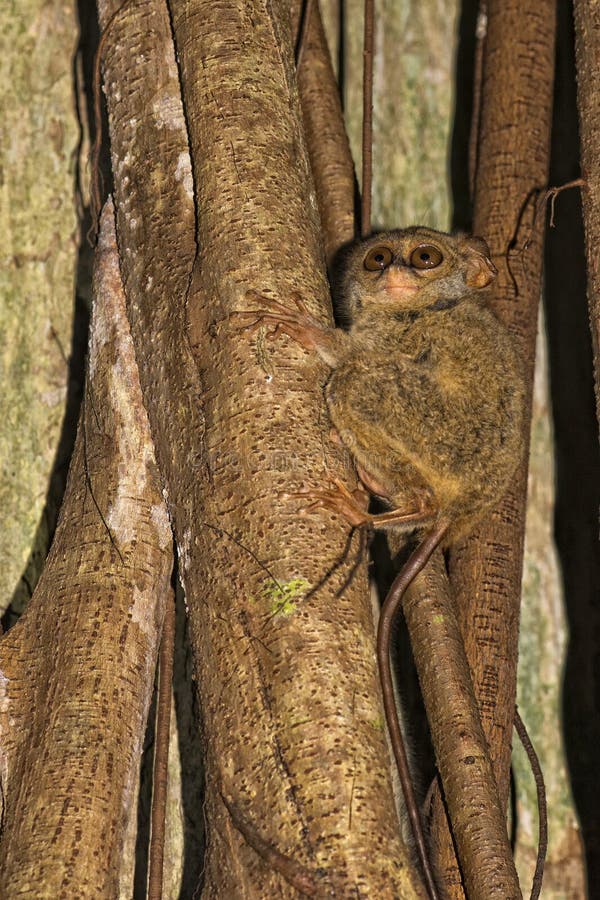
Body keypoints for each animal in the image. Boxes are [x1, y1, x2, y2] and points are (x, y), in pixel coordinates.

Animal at [234, 226, 525, 897]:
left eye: (425, 258)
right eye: (377, 258)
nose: (394, 272)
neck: (413, 310)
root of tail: (461, 509)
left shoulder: (401, 338)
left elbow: (349, 353)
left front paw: (306, 330)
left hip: (435, 434)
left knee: (355, 382)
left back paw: (368, 505)